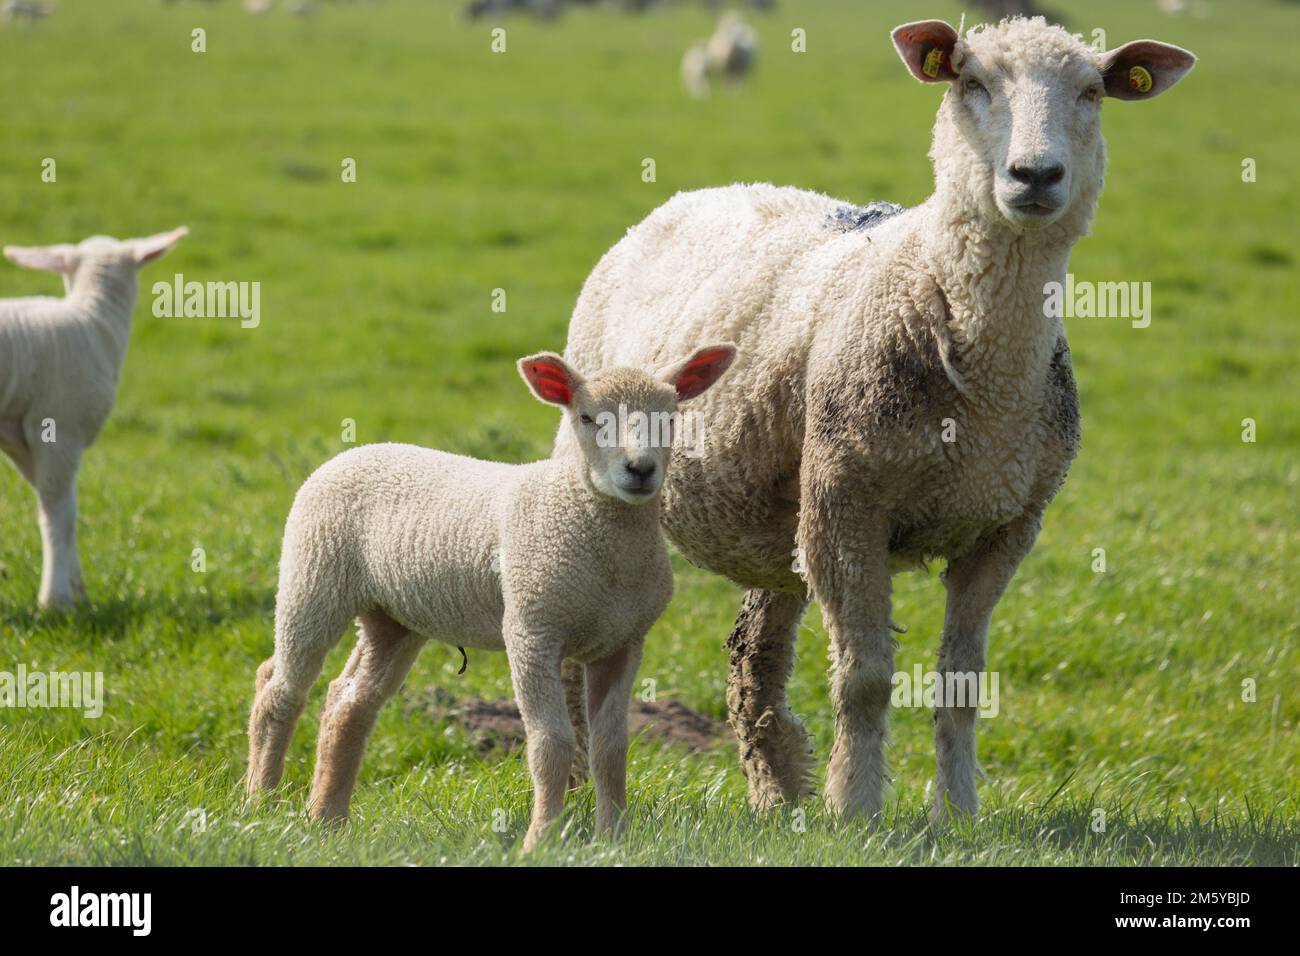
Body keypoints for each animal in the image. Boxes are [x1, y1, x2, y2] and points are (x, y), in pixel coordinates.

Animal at [0, 228, 188, 609]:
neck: (92, 319)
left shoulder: (21, 438)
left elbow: (66, 507)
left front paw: (77, 589)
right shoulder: (60, 428)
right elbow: (59, 513)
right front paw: (56, 598)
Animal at [245, 345, 735, 851]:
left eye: (671, 419)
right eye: (586, 417)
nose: (640, 470)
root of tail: (355, 452)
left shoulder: (623, 643)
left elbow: (611, 747)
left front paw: (614, 837)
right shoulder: (531, 630)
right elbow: (551, 742)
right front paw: (542, 840)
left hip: (393, 617)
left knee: (348, 701)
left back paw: (327, 820)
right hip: (313, 574)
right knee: (279, 687)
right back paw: (261, 803)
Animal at [561, 16, 1195, 823]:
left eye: (1092, 93)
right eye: (971, 82)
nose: (1036, 176)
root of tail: (698, 192)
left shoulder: (1006, 527)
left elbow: (962, 684)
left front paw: (957, 814)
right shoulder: (846, 506)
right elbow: (863, 678)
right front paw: (856, 811)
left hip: (784, 516)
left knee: (753, 654)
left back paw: (777, 794)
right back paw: (572, 787)